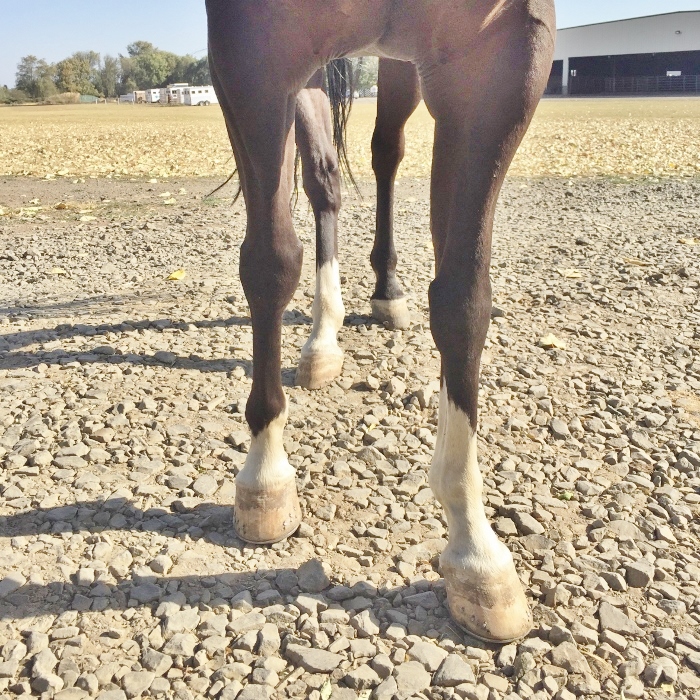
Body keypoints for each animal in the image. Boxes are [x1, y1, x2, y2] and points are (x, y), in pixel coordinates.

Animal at [206, 0, 556, 643]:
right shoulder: (253, 52)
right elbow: (271, 261)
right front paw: (264, 475)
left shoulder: (503, 53)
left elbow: (464, 300)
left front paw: (475, 550)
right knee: (324, 176)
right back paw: (323, 338)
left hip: (400, 65)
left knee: (384, 150)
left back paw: (385, 291)